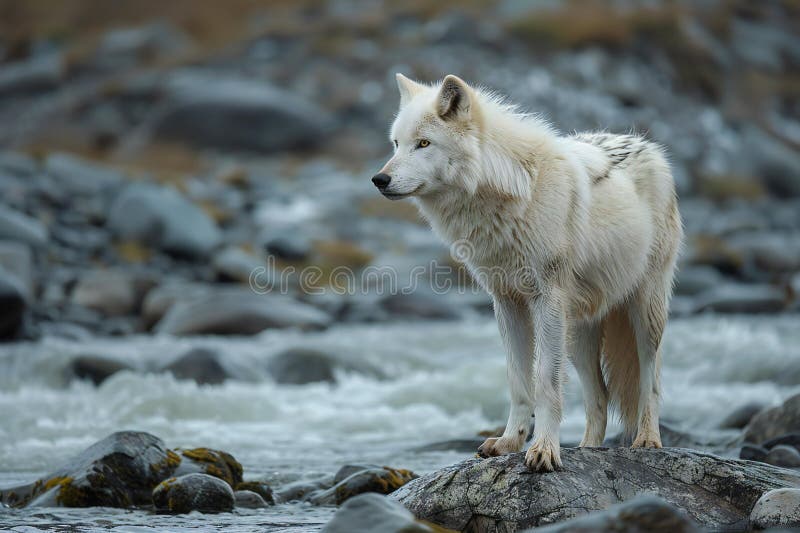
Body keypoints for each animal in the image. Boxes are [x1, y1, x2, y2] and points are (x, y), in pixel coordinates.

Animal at [372, 74, 683, 472]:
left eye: (423, 143)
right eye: (396, 144)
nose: (379, 179)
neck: (509, 193)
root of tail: (648, 145)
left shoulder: (545, 300)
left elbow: (545, 384)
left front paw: (545, 450)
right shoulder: (506, 302)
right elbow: (518, 381)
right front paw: (509, 442)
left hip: (643, 314)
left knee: (651, 380)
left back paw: (646, 439)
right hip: (577, 334)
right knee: (598, 396)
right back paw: (587, 448)